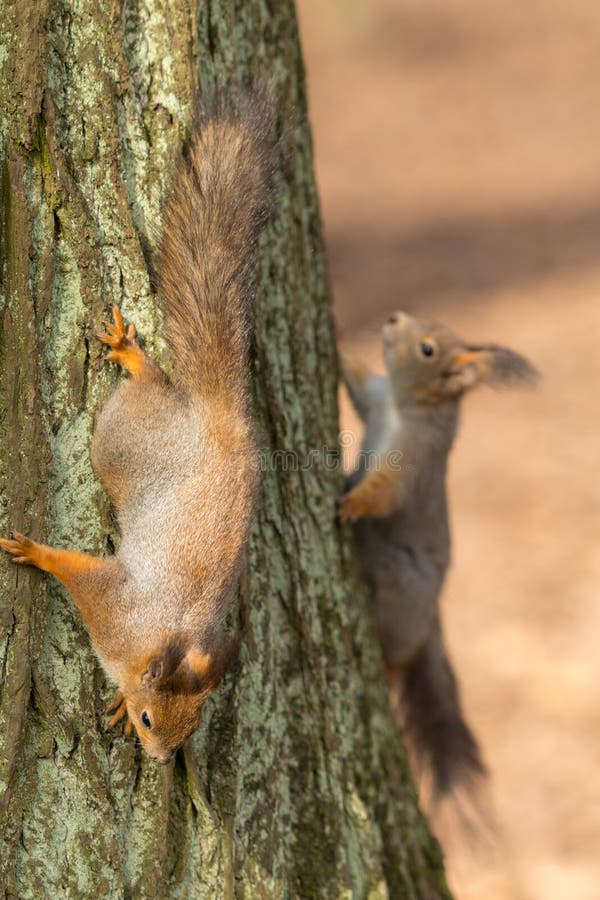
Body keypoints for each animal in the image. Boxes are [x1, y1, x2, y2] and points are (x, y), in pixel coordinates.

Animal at [0, 92, 276, 763]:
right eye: (154, 719)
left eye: (193, 725)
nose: (159, 760)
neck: (161, 642)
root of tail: (225, 422)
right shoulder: (114, 607)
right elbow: (77, 572)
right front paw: (35, 552)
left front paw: (117, 705)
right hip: (124, 441)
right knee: (149, 383)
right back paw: (132, 355)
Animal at [339, 310, 537, 801]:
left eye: (427, 349)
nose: (393, 318)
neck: (403, 404)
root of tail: (431, 614)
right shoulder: (373, 398)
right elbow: (354, 382)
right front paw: (335, 338)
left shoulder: (412, 457)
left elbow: (384, 492)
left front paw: (351, 504)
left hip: (402, 596)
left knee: (398, 652)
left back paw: (387, 667)